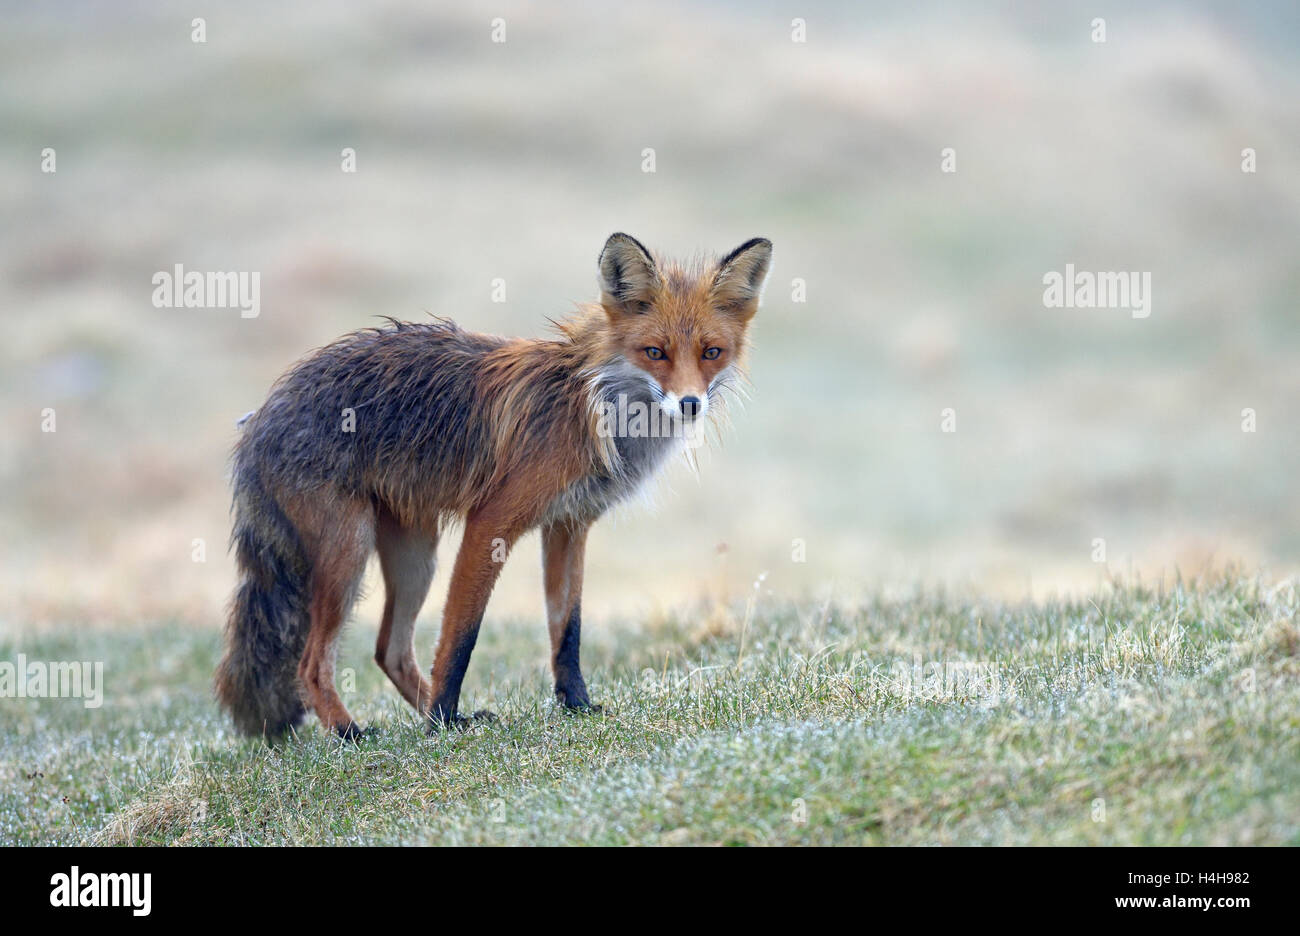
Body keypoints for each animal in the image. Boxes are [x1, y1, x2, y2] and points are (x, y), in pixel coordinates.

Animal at [215, 233, 772, 739]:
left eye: (711, 352)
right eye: (655, 352)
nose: (690, 404)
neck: (592, 405)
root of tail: (260, 414)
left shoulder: (569, 525)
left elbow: (567, 630)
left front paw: (576, 706)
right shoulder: (493, 523)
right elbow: (461, 636)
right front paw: (443, 721)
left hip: (415, 558)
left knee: (389, 650)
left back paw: (422, 716)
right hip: (348, 552)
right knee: (311, 663)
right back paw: (353, 731)